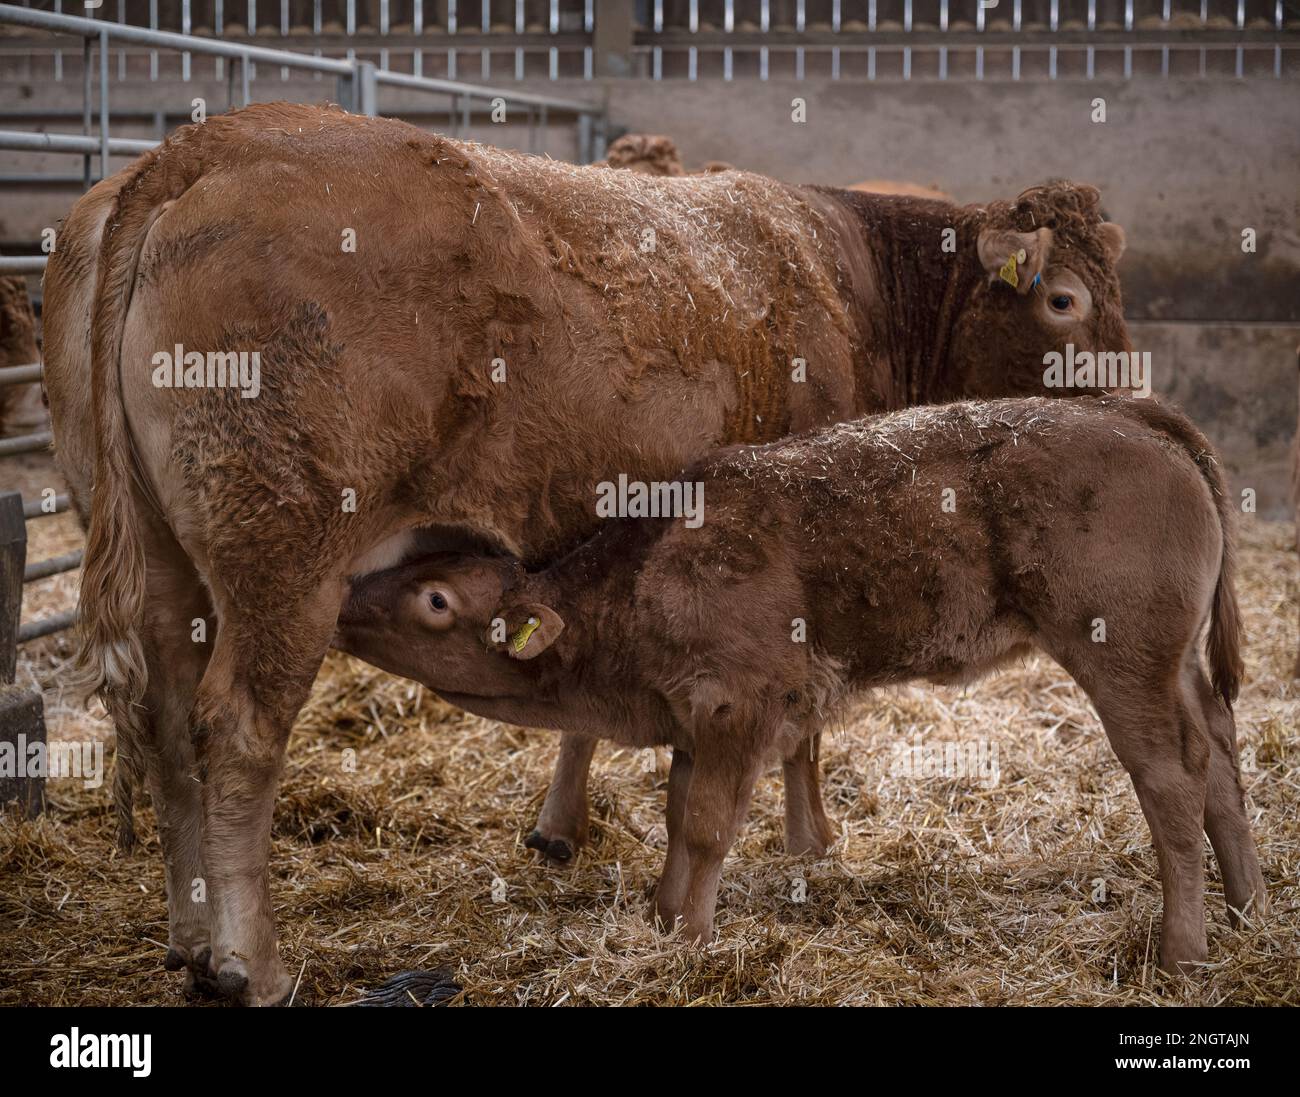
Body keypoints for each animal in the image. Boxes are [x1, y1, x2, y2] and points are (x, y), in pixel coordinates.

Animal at [43, 102, 1131, 1004]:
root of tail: (213, 141)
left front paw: (571, 827)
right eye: (1064, 300)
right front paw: (808, 840)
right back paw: (251, 963)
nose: (1125, 405)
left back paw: (190, 939)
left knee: (168, 721)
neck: (852, 280)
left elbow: (598, 710)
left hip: (163, 562)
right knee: (237, 729)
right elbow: (799, 727)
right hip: (286, 555)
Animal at [335, 395, 1266, 969]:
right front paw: (664, 916)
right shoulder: (692, 717)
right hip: (1178, 665)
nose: (344, 600)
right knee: (1220, 755)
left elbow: (708, 824)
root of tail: (1131, 411)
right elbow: (677, 816)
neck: (647, 573)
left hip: (1123, 660)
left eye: (434, 598)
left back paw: (1182, 948)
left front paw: (691, 941)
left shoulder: (740, 704)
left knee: (1171, 779)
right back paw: (1249, 909)